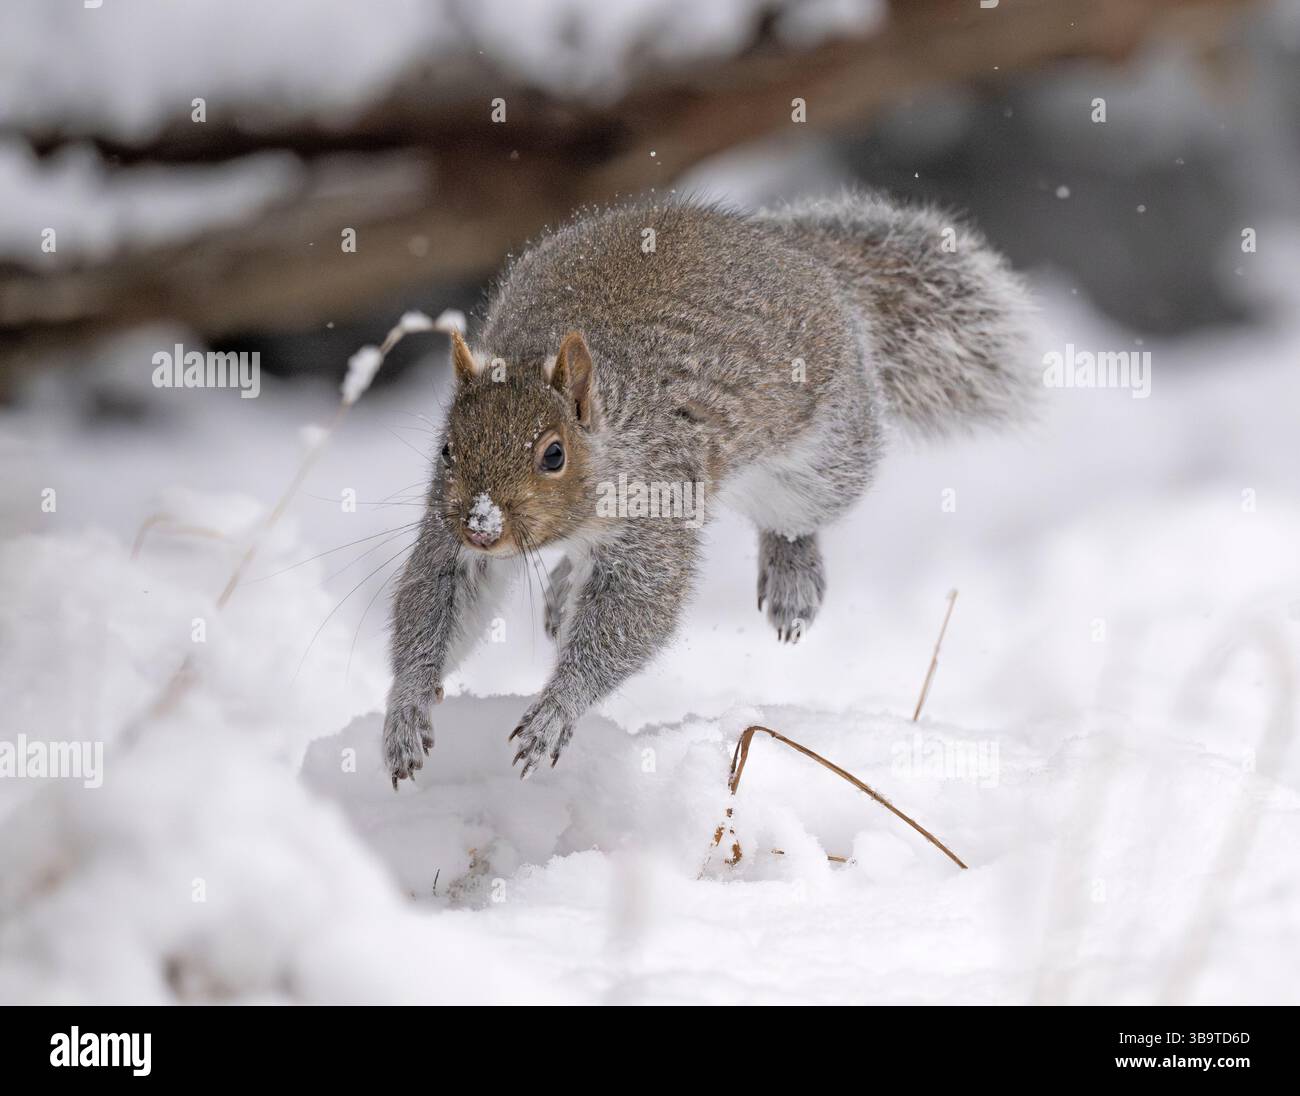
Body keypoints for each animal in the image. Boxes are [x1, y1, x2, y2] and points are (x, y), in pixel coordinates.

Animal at [383, 191, 1034, 785]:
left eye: (554, 455)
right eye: (446, 449)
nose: (481, 527)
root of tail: (800, 252)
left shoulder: (656, 503)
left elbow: (635, 613)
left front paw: (553, 713)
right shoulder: (449, 536)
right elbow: (435, 598)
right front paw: (406, 711)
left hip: (825, 452)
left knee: (800, 515)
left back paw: (792, 574)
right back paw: (565, 588)